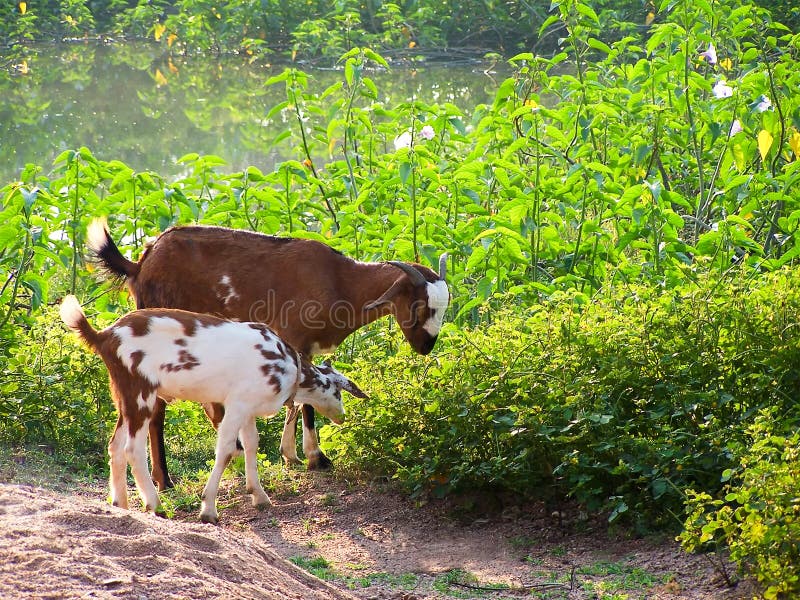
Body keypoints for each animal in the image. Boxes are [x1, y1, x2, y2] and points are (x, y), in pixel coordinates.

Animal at [59, 294, 367, 524]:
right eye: (338, 391)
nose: (341, 417)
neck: (288, 367)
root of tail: (105, 335)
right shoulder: (236, 404)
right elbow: (227, 450)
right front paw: (208, 509)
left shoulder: (247, 407)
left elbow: (252, 444)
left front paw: (259, 496)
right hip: (141, 393)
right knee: (132, 449)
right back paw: (155, 505)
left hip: (125, 396)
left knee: (115, 446)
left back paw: (121, 504)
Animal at [87, 218, 449, 490]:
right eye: (419, 305)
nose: (426, 345)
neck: (342, 282)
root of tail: (140, 262)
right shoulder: (296, 338)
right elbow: (305, 401)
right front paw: (314, 457)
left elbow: (297, 399)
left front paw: (292, 455)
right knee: (157, 409)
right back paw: (165, 481)